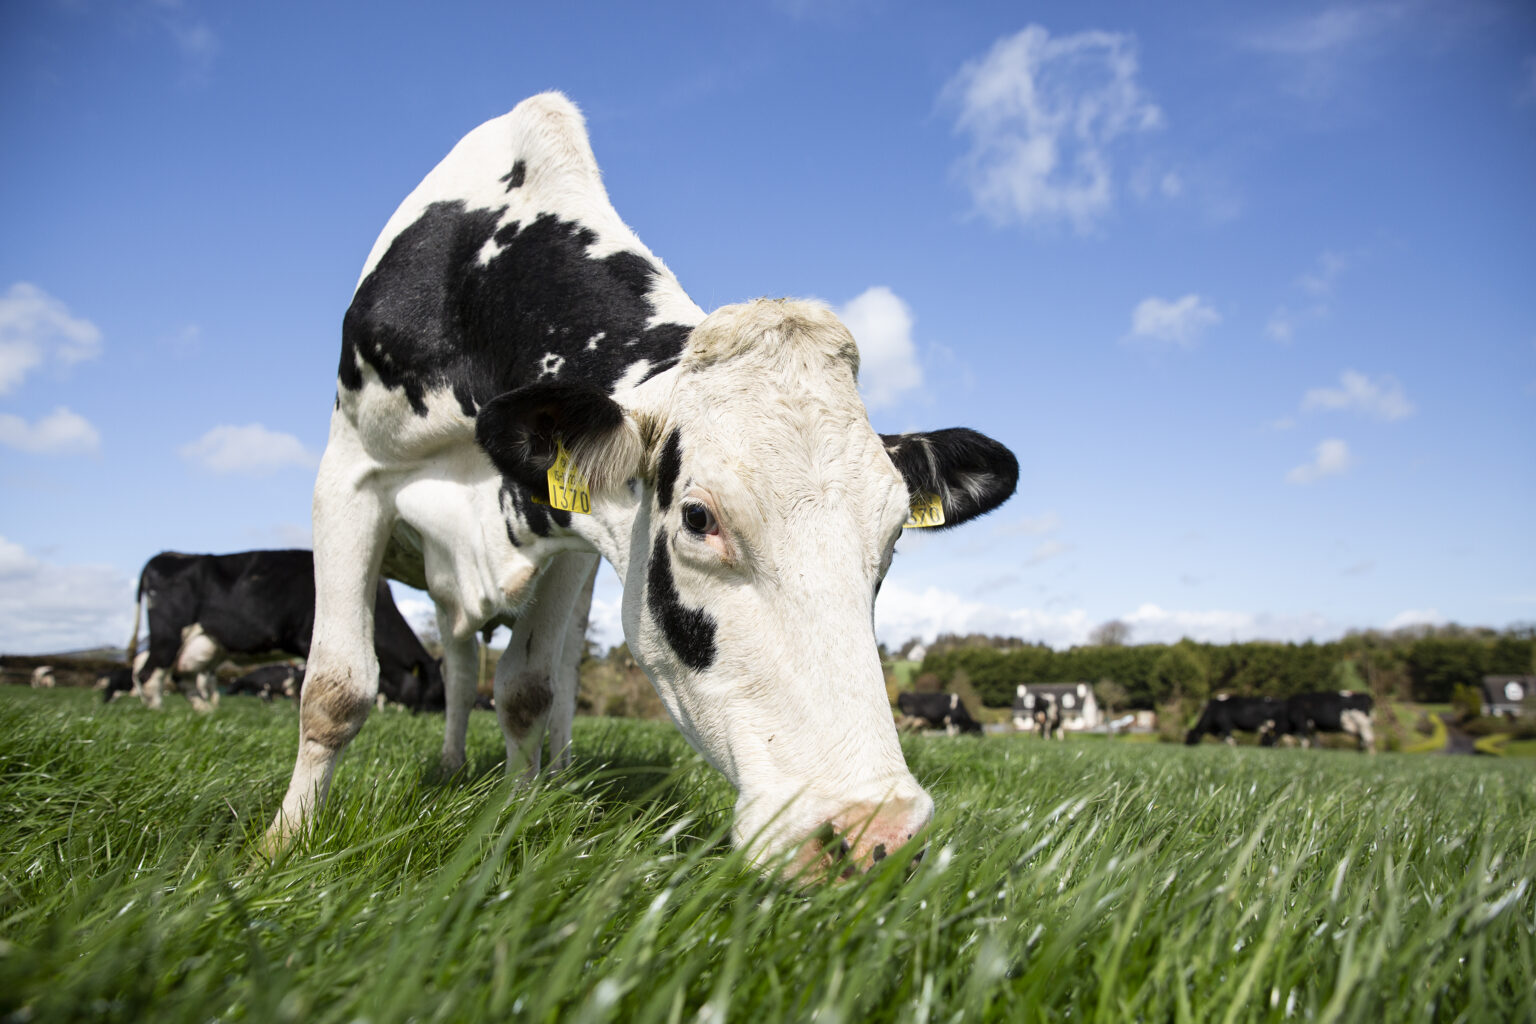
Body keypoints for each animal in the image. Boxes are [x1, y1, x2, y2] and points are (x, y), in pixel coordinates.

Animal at [127, 550, 444, 713]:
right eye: (434, 691)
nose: (436, 715)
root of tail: (166, 555)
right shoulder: (306, 639)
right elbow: (308, 681)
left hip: (203, 643)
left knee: (182, 676)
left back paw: (205, 712)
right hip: (168, 632)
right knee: (150, 673)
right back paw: (157, 713)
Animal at [263, 93, 1018, 875]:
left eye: (894, 534)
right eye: (698, 518)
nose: (877, 835)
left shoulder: (571, 539)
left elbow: (528, 690)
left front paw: (514, 814)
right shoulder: (350, 472)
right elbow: (335, 689)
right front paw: (285, 841)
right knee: (462, 663)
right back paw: (449, 765)